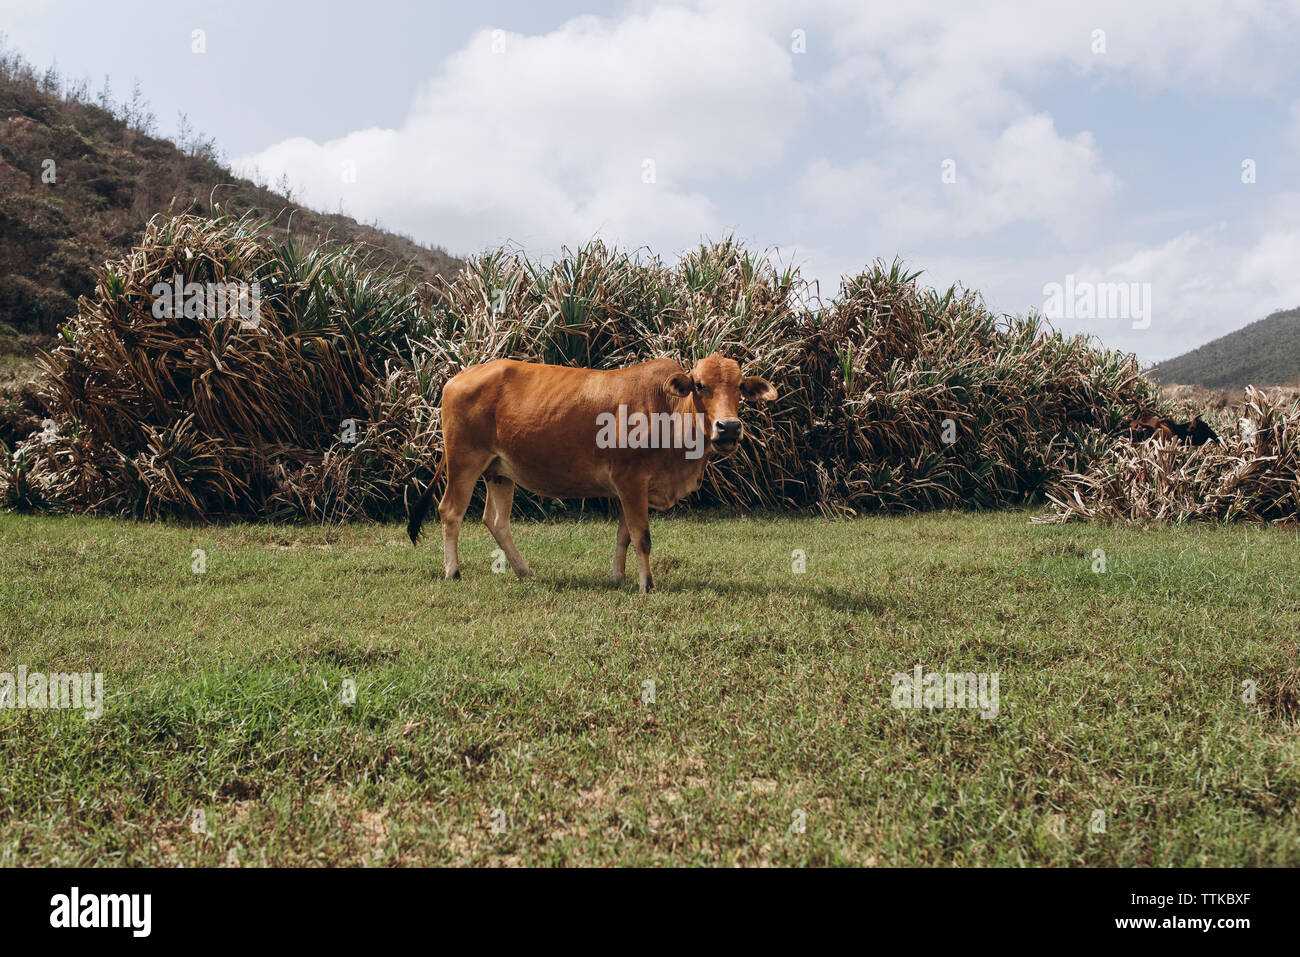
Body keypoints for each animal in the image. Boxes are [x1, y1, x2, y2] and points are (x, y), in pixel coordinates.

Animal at [406, 353, 778, 593]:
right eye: (699, 385)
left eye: (740, 386)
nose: (729, 428)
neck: (669, 413)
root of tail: (456, 378)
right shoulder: (631, 481)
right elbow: (642, 536)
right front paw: (647, 584)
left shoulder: (631, 489)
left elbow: (624, 535)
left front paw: (617, 578)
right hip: (464, 462)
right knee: (450, 511)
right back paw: (453, 571)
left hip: (500, 472)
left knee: (495, 521)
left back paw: (524, 572)